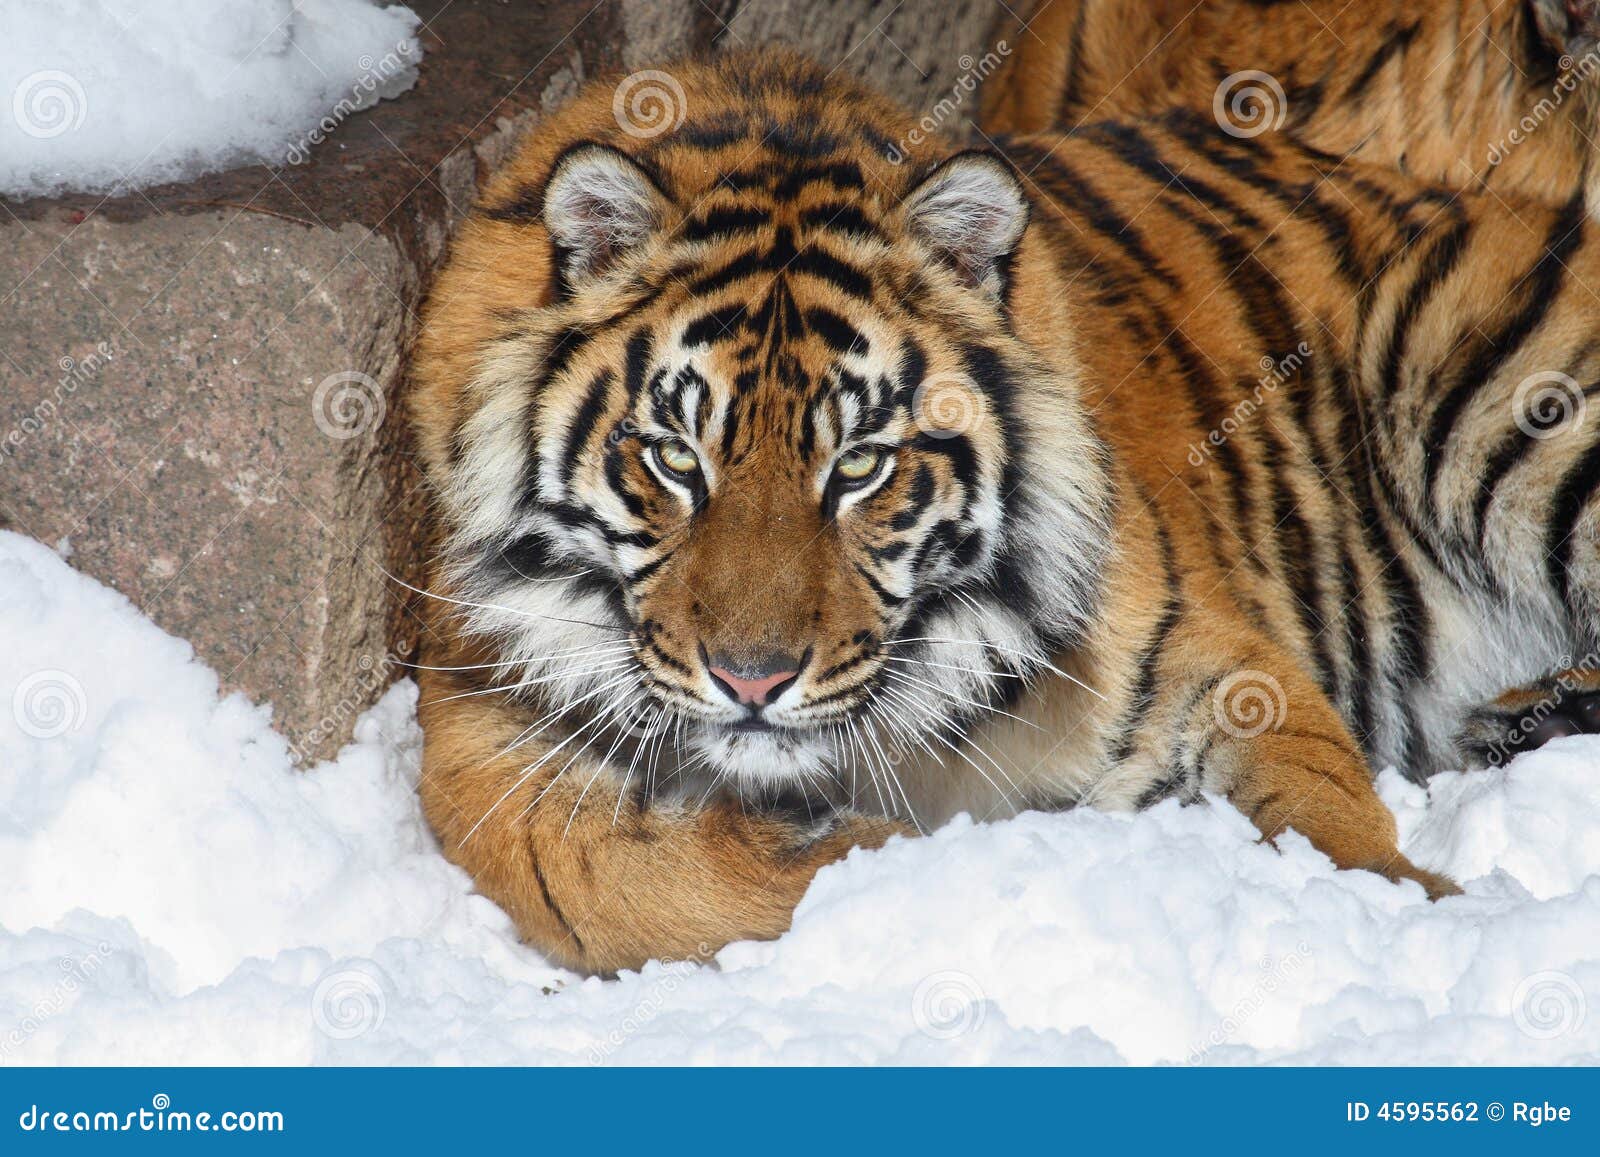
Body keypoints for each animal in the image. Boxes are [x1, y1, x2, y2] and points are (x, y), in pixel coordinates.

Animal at [409, 48, 1600, 975]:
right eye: (673, 457)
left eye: (860, 465)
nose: (751, 679)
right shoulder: (490, 744)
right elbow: (647, 888)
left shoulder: (1206, 665)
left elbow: (1328, 818)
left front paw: (1415, 914)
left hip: (1469, 353)